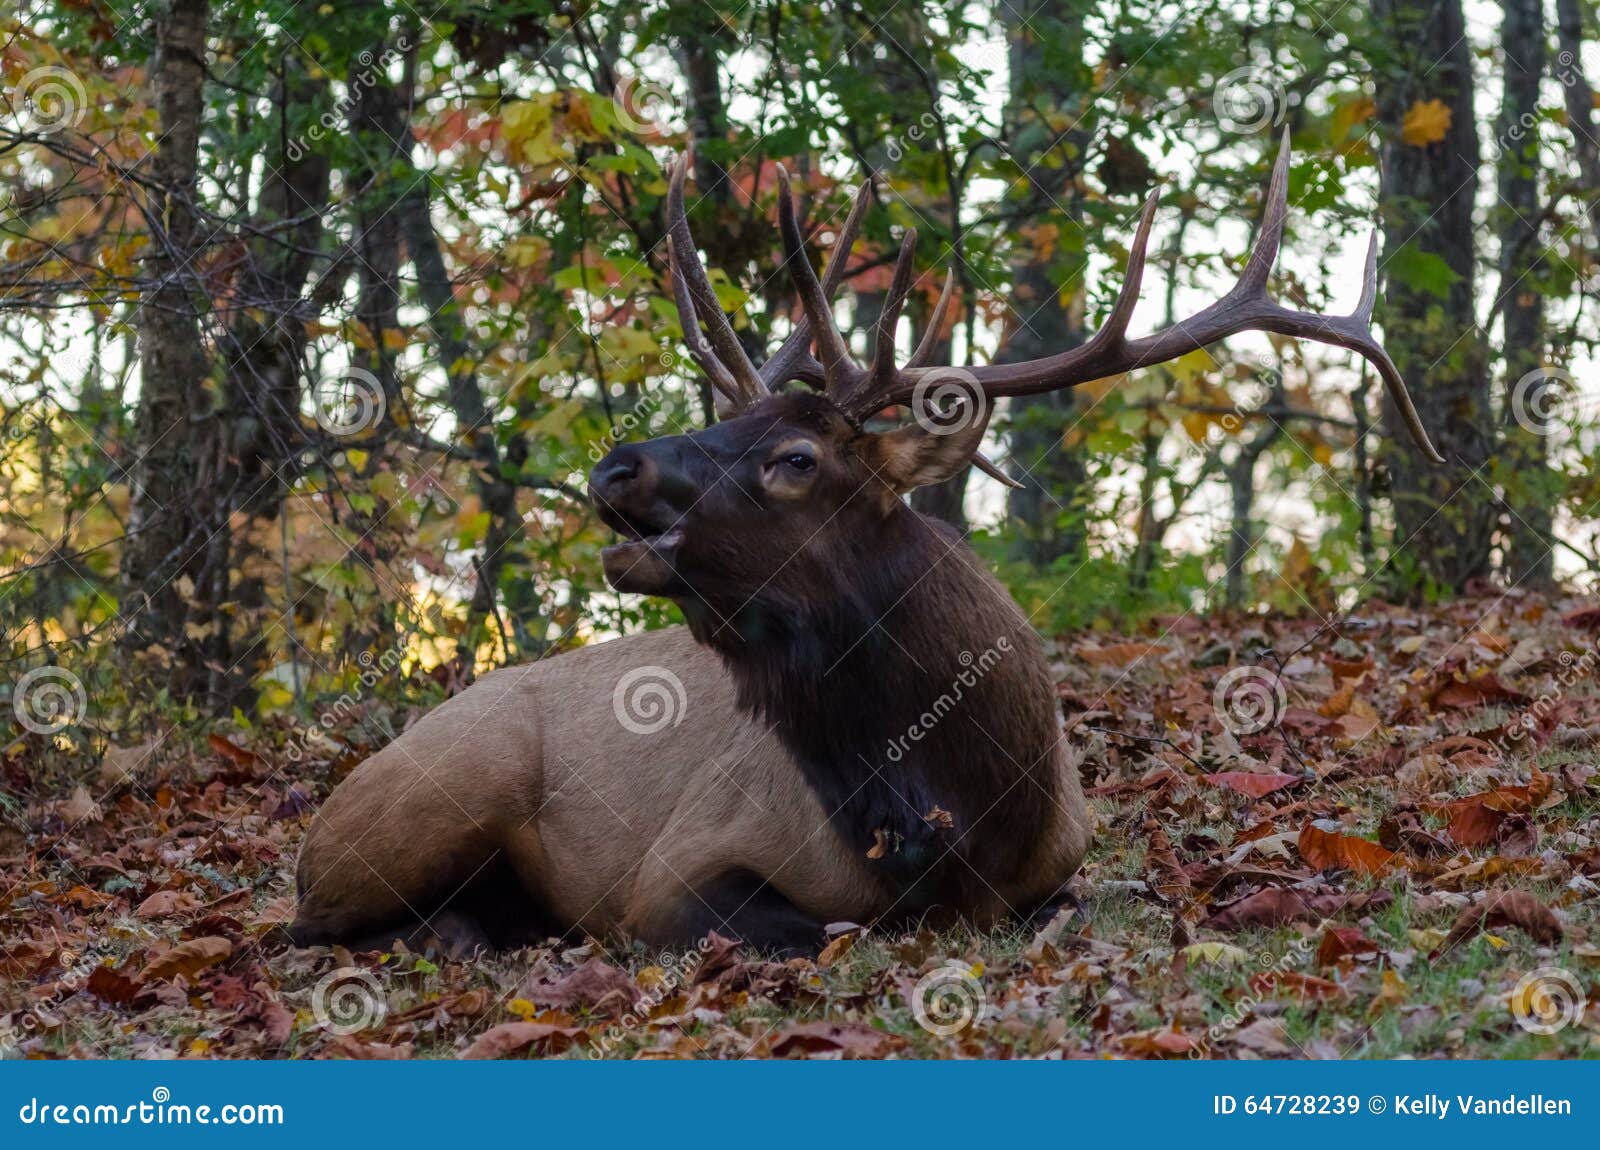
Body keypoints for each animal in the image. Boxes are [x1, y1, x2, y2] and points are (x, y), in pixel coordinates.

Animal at [291, 131, 1441, 955]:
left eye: (795, 456)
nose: (616, 469)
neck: (963, 812)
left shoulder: (1064, 864)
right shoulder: (670, 872)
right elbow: (822, 925)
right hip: (434, 793)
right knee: (309, 926)